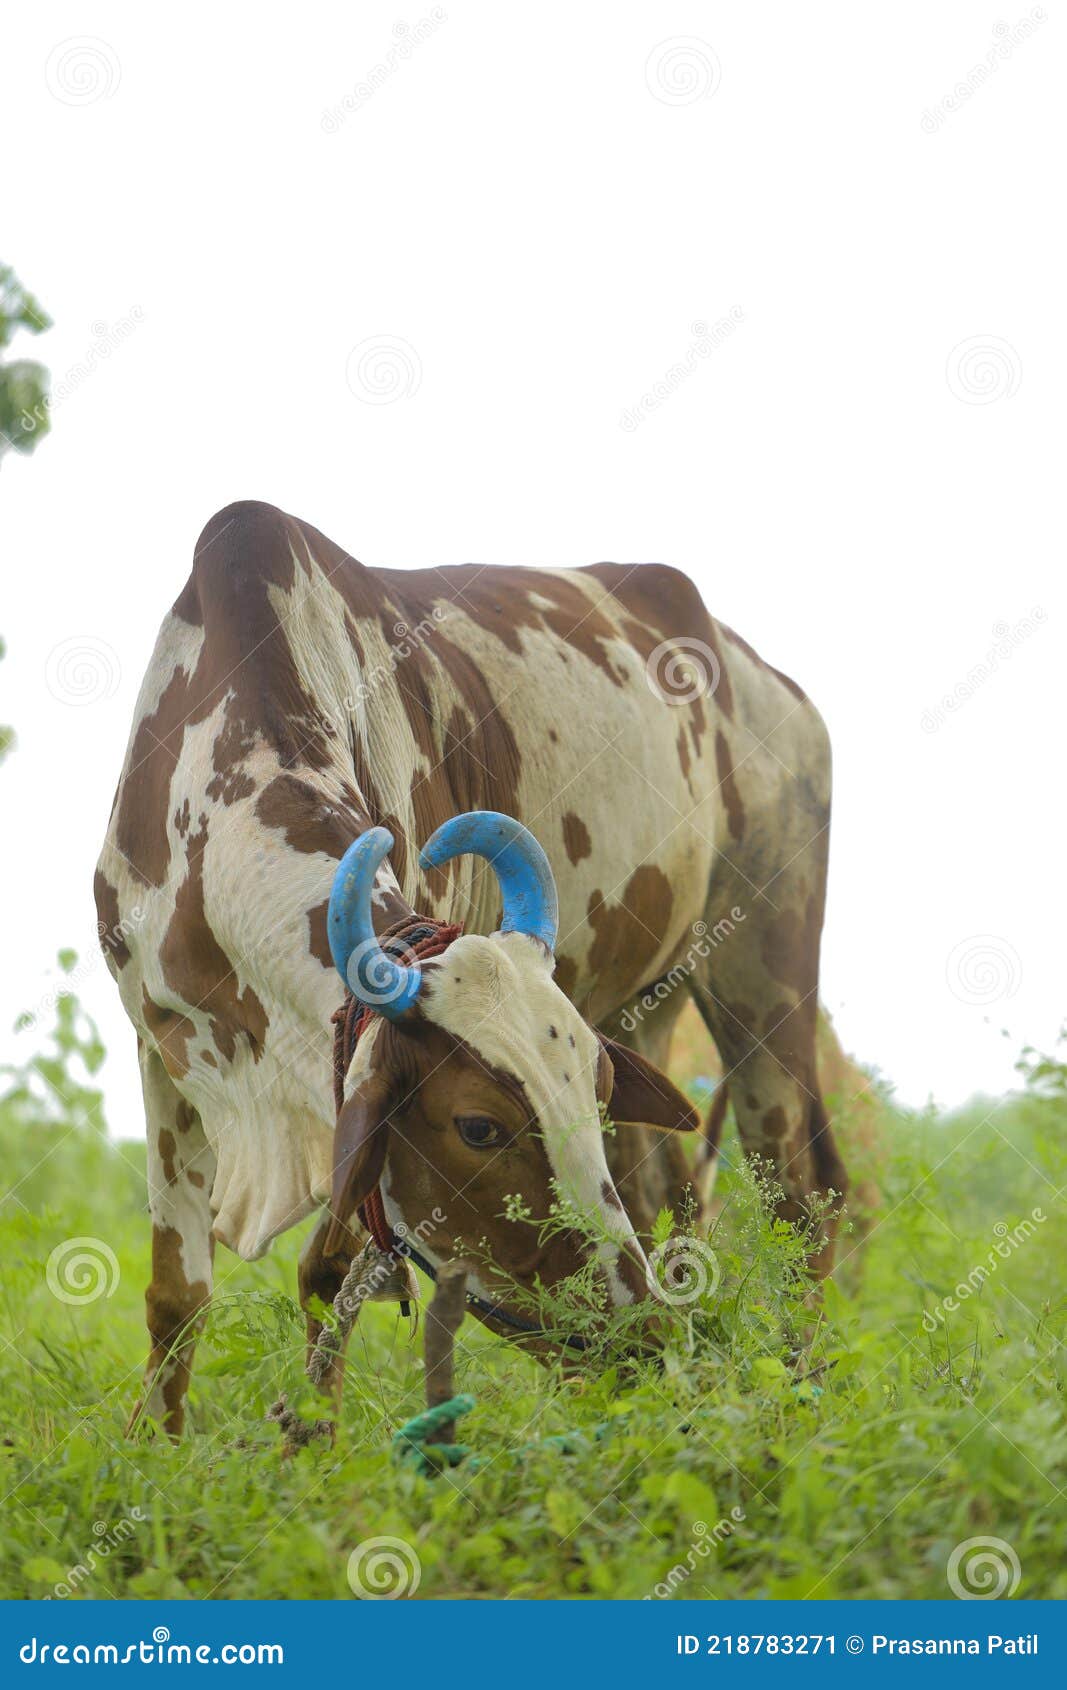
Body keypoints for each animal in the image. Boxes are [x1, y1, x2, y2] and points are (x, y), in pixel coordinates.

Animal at [94, 499, 847, 1437]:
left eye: (591, 1090)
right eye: (479, 1127)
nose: (635, 1339)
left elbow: (325, 1277)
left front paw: (314, 1449)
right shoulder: (158, 1043)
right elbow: (177, 1295)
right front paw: (153, 1450)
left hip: (766, 972)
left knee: (798, 1192)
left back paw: (799, 1390)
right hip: (647, 1004)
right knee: (665, 1197)